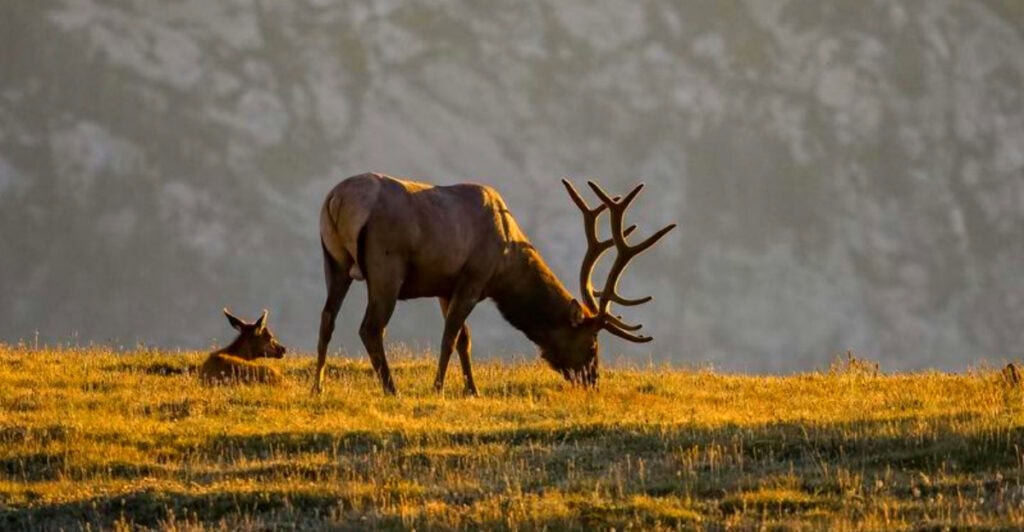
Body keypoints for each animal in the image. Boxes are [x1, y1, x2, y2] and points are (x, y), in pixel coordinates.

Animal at [312, 172, 675, 396]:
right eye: (591, 344)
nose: (592, 380)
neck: (506, 262)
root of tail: (337, 200)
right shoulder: (474, 277)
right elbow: (451, 336)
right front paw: (438, 388)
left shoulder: (445, 286)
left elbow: (464, 340)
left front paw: (472, 390)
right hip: (387, 265)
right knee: (371, 327)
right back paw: (391, 389)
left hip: (334, 261)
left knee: (327, 318)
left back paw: (317, 386)